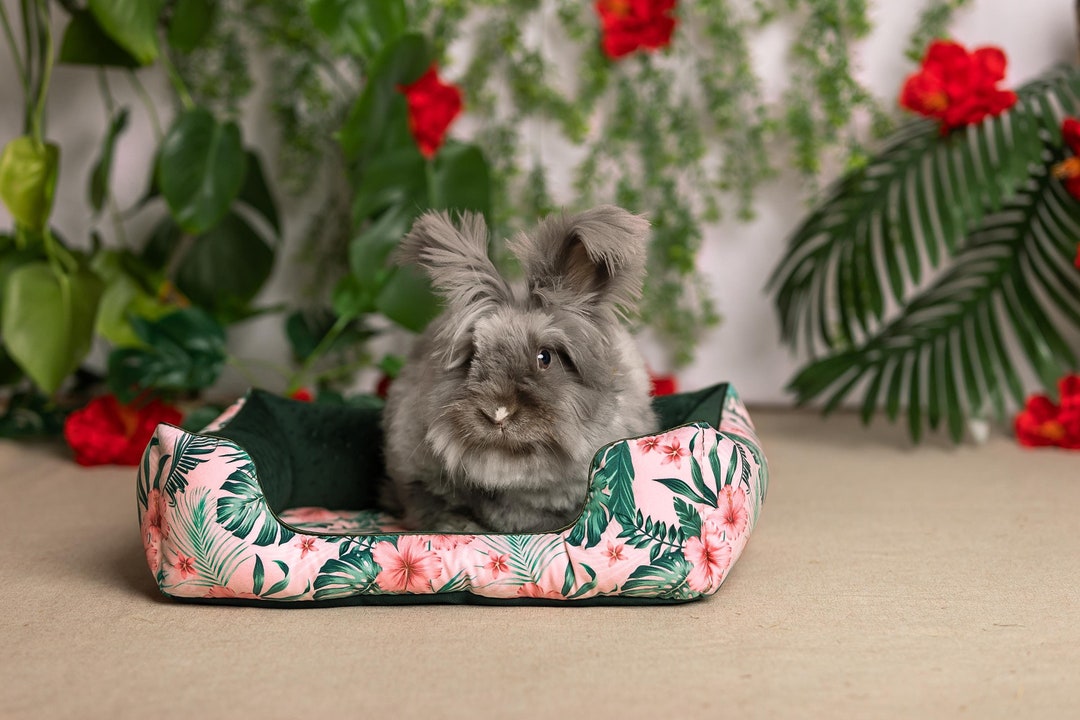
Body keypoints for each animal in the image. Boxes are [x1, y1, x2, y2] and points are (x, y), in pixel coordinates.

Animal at [380, 205, 658, 533]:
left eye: (545, 357)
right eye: (472, 356)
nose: (497, 412)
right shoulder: (417, 484)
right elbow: (439, 514)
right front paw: (463, 528)